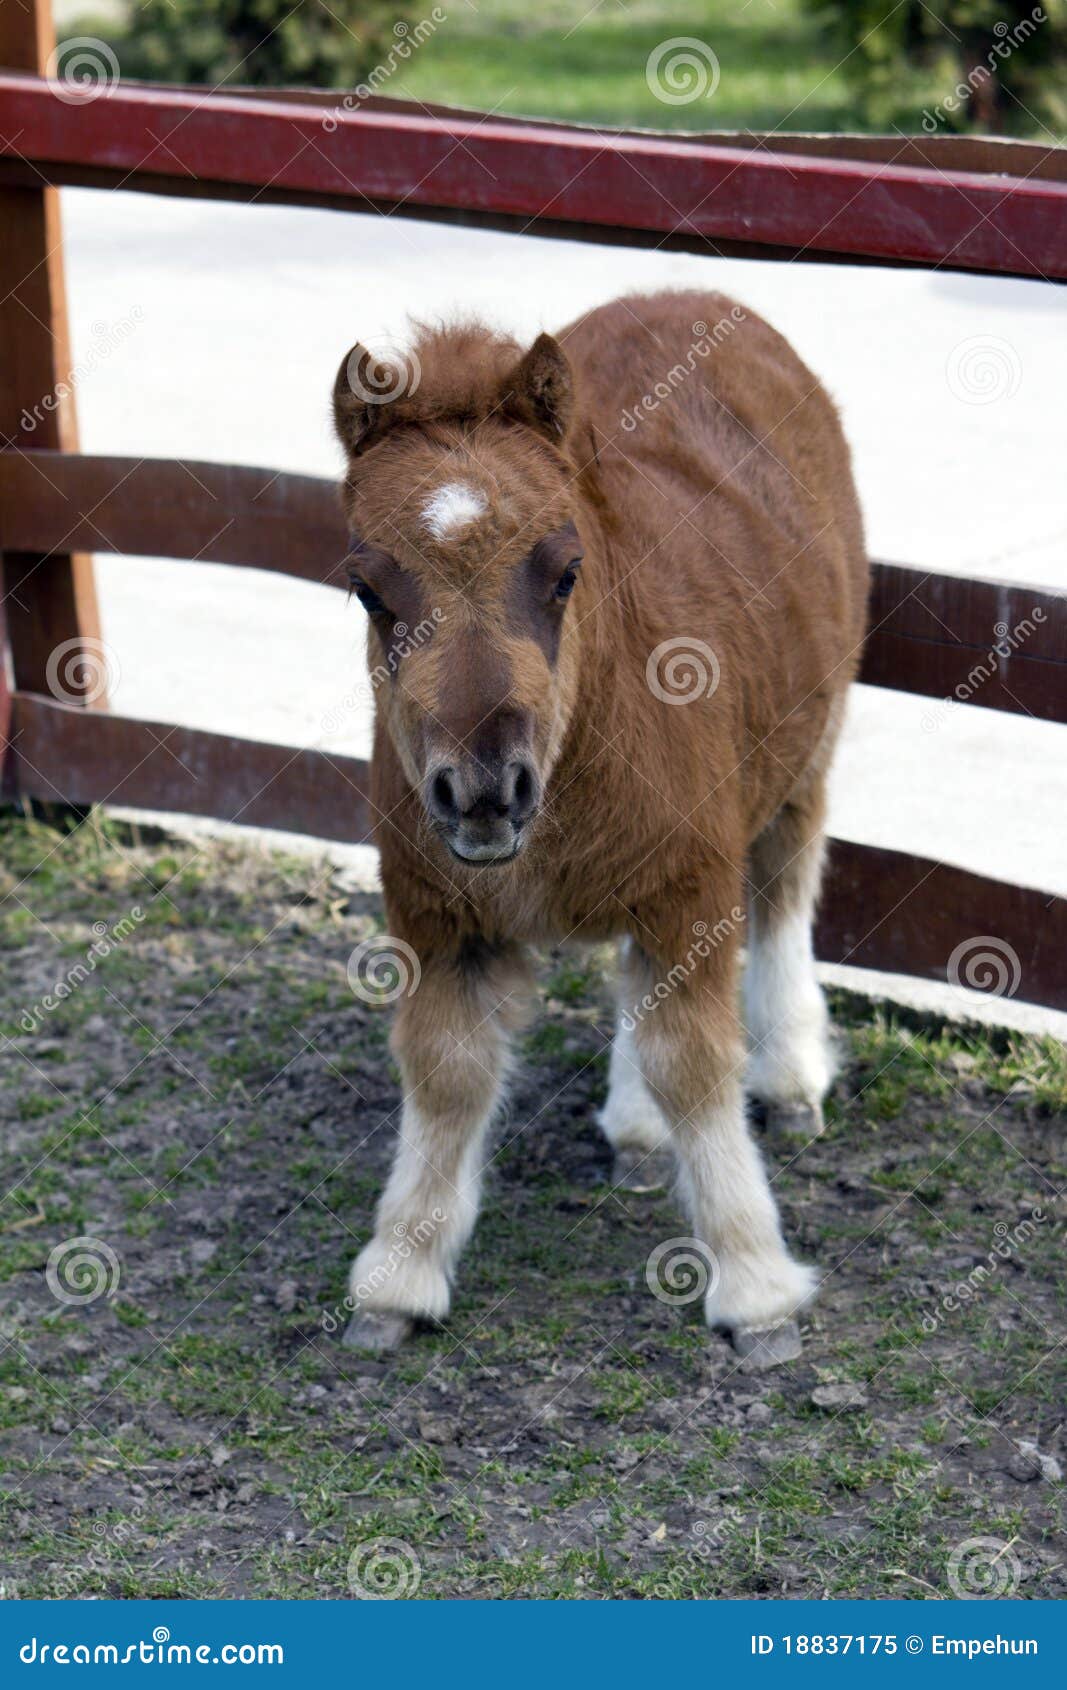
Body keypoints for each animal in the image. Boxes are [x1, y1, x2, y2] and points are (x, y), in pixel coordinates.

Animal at [331, 289, 868, 1366]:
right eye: (368, 589)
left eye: (565, 570)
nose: (484, 789)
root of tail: (705, 299)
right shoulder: (432, 908)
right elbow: (445, 1067)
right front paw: (398, 1277)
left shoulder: (690, 881)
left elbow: (695, 1062)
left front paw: (755, 1288)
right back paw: (634, 1127)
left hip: (804, 748)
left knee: (786, 885)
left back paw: (790, 1078)